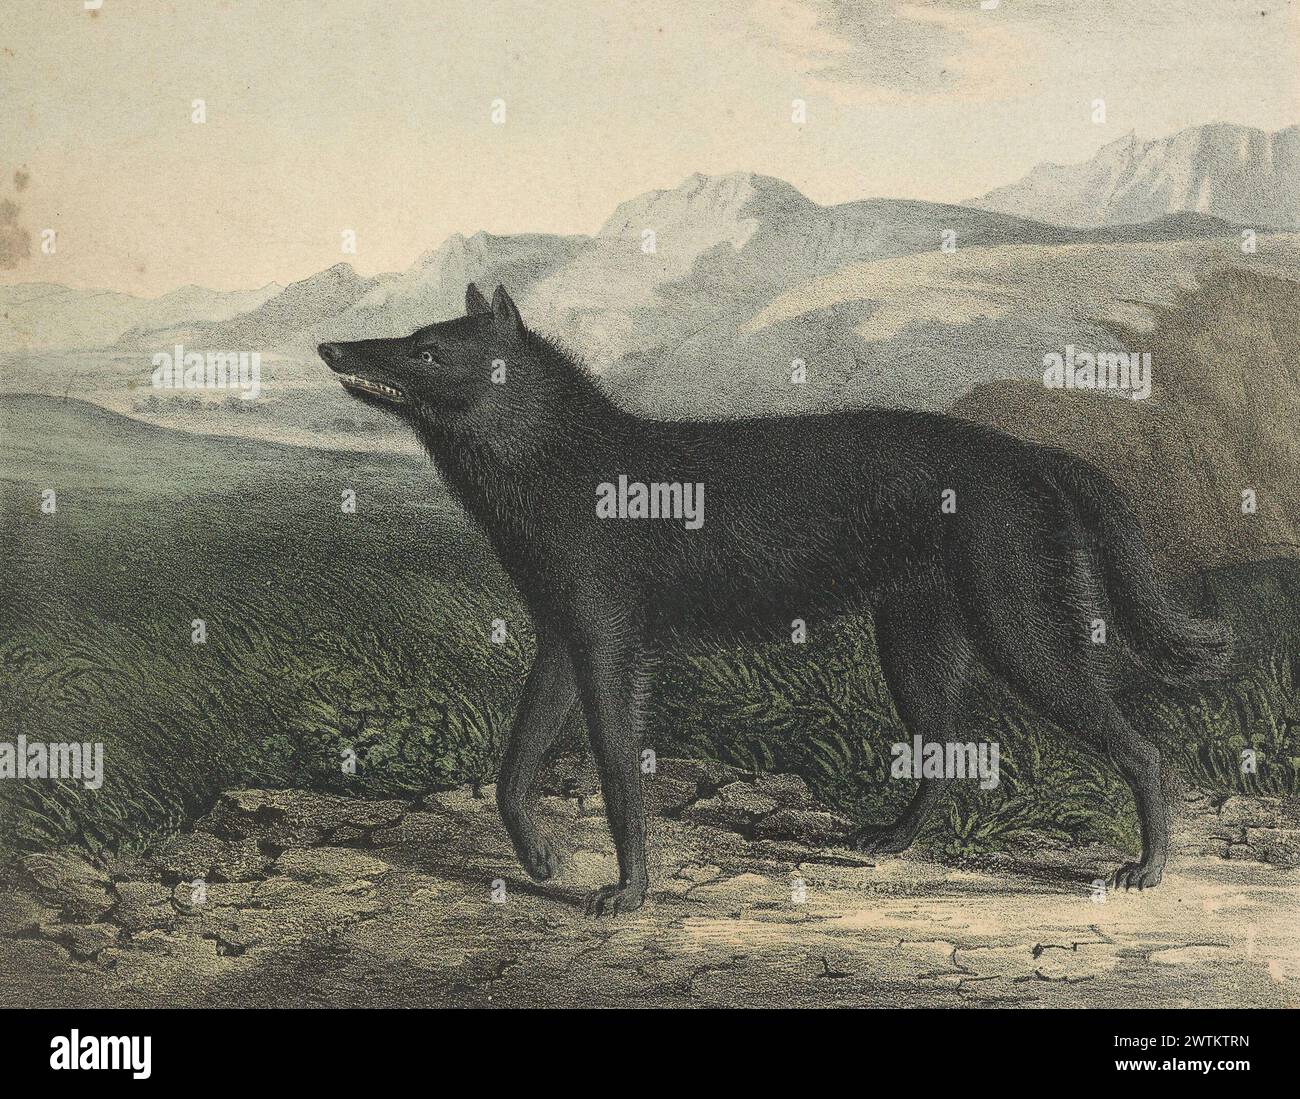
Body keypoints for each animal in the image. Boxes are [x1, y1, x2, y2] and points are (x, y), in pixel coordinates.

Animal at [319, 283, 1234, 915]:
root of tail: (1029, 454)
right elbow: (514, 767)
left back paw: (1147, 867)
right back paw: (891, 838)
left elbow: (616, 771)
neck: (557, 456)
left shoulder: (608, 642)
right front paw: (542, 861)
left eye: (428, 351)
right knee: (945, 743)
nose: (329, 346)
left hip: (1018, 621)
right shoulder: (561, 635)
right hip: (915, 629)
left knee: (1140, 747)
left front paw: (627, 891)